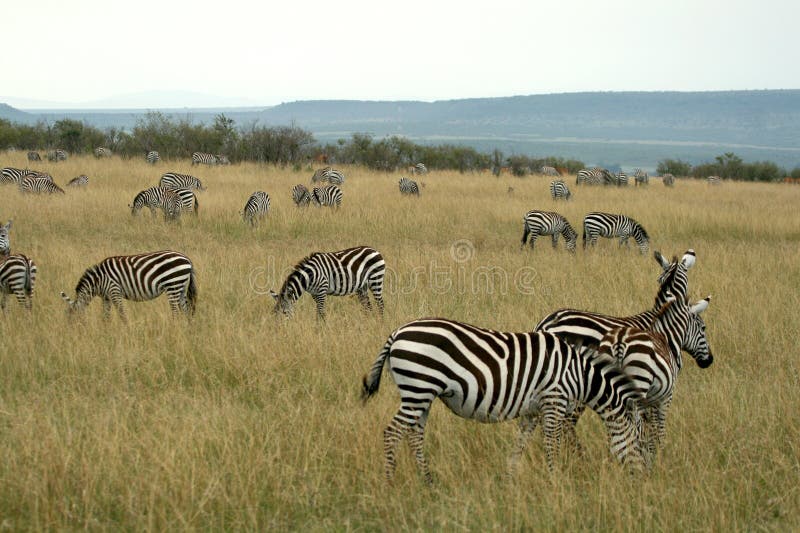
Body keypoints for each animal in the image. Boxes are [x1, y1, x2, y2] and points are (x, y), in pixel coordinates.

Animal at [60, 250, 197, 321]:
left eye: (70, 319)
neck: (98, 280)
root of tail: (187, 259)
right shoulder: (106, 297)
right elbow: (105, 316)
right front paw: (106, 332)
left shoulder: (114, 291)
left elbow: (121, 313)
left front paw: (125, 329)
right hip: (181, 288)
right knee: (186, 310)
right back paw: (187, 329)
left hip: (173, 285)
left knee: (176, 312)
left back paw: (174, 328)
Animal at [361, 318, 645, 484]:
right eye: (641, 444)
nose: (642, 481)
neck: (578, 374)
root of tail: (397, 332)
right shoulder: (553, 401)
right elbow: (551, 444)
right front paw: (555, 480)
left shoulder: (534, 410)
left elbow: (521, 442)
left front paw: (509, 478)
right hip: (418, 389)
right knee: (392, 433)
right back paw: (389, 482)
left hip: (421, 395)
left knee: (414, 435)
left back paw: (428, 481)